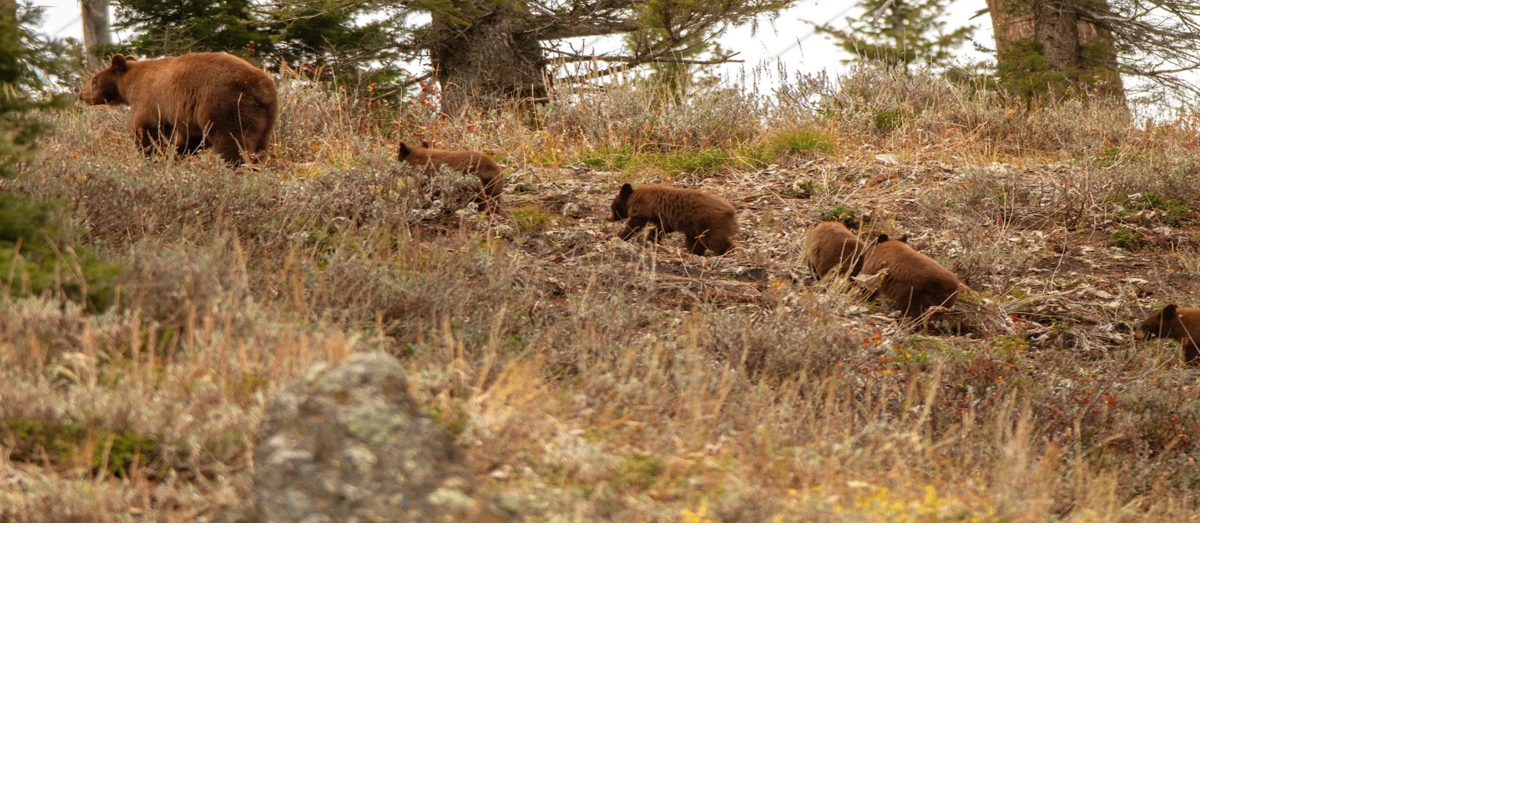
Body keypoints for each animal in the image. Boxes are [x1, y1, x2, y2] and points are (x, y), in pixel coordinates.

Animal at [80, 53, 278, 168]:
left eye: (94, 80)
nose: (81, 93)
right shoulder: (186, 115)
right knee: (260, 146)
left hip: (225, 104)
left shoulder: (149, 100)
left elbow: (147, 131)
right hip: (265, 116)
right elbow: (192, 137)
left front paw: (151, 157)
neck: (128, 86)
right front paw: (174, 155)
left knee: (231, 140)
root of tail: (260, 86)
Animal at [609, 184, 737, 256]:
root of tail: (731, 211)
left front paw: (621, 236)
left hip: (711, 224)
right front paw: (653, 239)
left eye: (613, 207)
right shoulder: (665, 219)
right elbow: (661, 229)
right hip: (696, 229)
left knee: (715, 240)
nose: (608, 218)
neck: (633, 197)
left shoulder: (643, 211)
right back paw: (696, 252)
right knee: (694, 241)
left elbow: (634, 224)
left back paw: (725, 252)